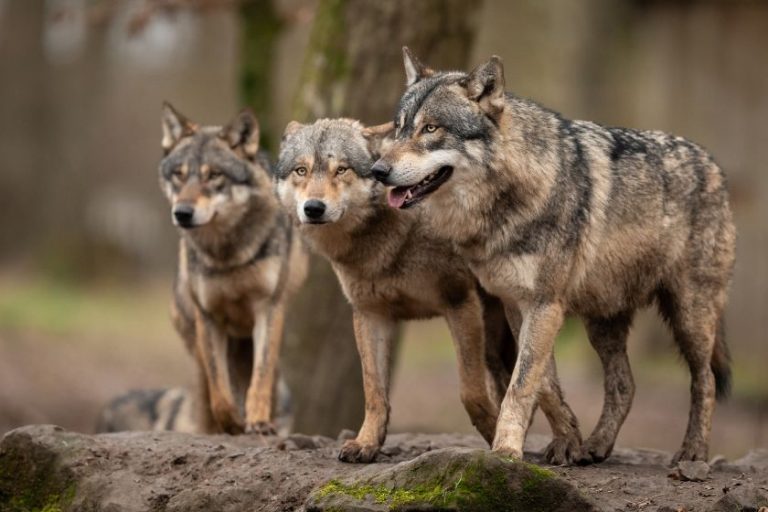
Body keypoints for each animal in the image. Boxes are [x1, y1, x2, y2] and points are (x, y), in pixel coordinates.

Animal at [159, 103, 307, 435]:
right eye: (179, 175)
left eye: (214, 175)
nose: (182, 213)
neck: (227, 254)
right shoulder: (209, 317)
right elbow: (220, 394)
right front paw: (233, 424)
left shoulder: (268, 309)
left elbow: (260, 379)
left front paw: (258, 422)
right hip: (198, 347)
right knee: (206, 396)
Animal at [275, 118, 583, 464]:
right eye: (301, 170)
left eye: (341, 170)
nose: (313, 208)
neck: (390, 238)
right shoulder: (370, 315)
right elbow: (374, 392)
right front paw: (367, 443)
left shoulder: (459, 303)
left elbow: (470, 393)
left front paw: (497, 445)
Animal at [371, 48, 736, 464]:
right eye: (399, 127)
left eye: (431, 129)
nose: (377, 170)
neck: (507, 199)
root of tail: (713, 164)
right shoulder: (517, 304)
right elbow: (542, 382)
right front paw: (567, 440)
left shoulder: (545, 305)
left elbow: (520, 385)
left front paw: (506, 450)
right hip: (603, 321)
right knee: (625, 384)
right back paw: (596, 446)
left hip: (689, 315)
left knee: (705, 380)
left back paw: (692, 454)